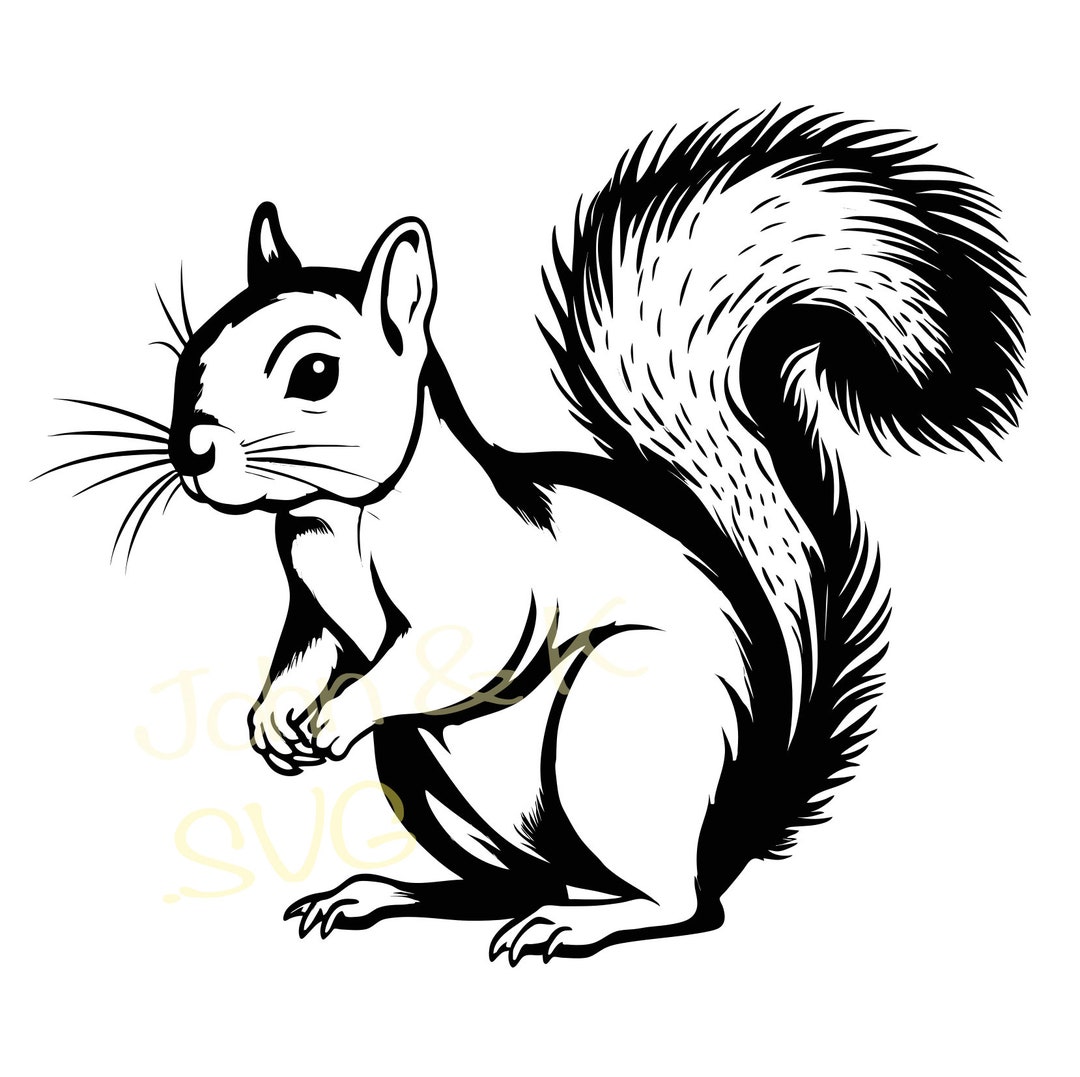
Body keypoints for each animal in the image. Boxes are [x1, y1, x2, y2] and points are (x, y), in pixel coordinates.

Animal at [107, 108, 1028, 962]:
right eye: (193, 353)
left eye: (316, 373)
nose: (194, 447)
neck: (341, 516)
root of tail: (730, 824)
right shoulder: (313, 594)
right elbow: (309, 644)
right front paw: (275, 716)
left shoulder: (483, 588)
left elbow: (456, 649)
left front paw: (335, 718)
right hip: (422, 775)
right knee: (505, 884)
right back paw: (382, 893)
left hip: (618, 732)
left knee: (682, 904)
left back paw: (572, 922)